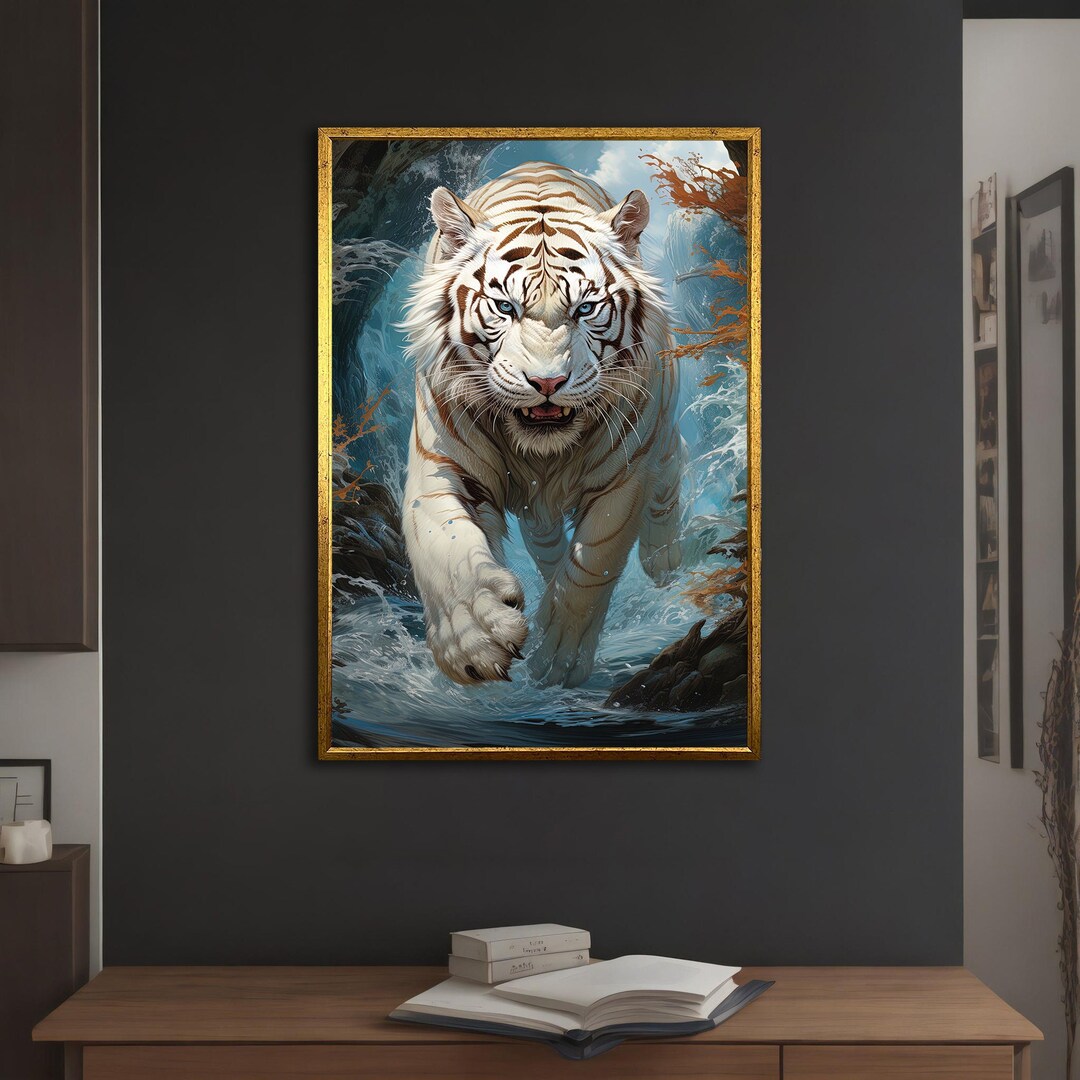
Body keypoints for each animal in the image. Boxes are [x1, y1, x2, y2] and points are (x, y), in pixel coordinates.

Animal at [400, 161, 683, 688]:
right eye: (505, 308)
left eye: (585, 309)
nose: (547, 382)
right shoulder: (440, 466)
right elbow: (443, 547)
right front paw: (474, 640)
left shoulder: (624, 476)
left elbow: (593, 565)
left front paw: (559, 659)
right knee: (545, 542)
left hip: (660, 428)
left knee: (672, 469)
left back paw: (665, 559)